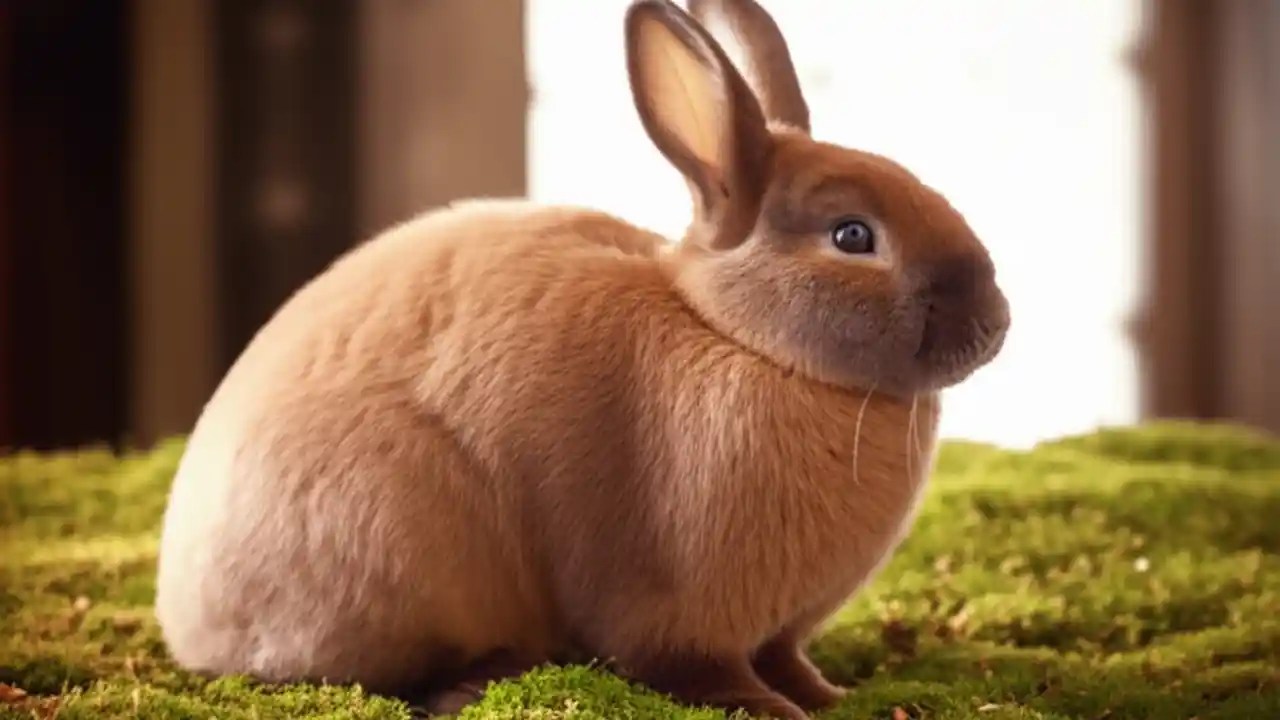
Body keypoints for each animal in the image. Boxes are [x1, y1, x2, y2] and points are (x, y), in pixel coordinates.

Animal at [153, 0, 1010, 718]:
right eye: (853, 236)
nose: (994, 325)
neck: (736, 335)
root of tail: (187, 622)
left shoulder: (780, 628)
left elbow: (787, 658)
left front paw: (827, 695)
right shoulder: (677, 606)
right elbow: (700, 668)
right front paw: (772, 708)